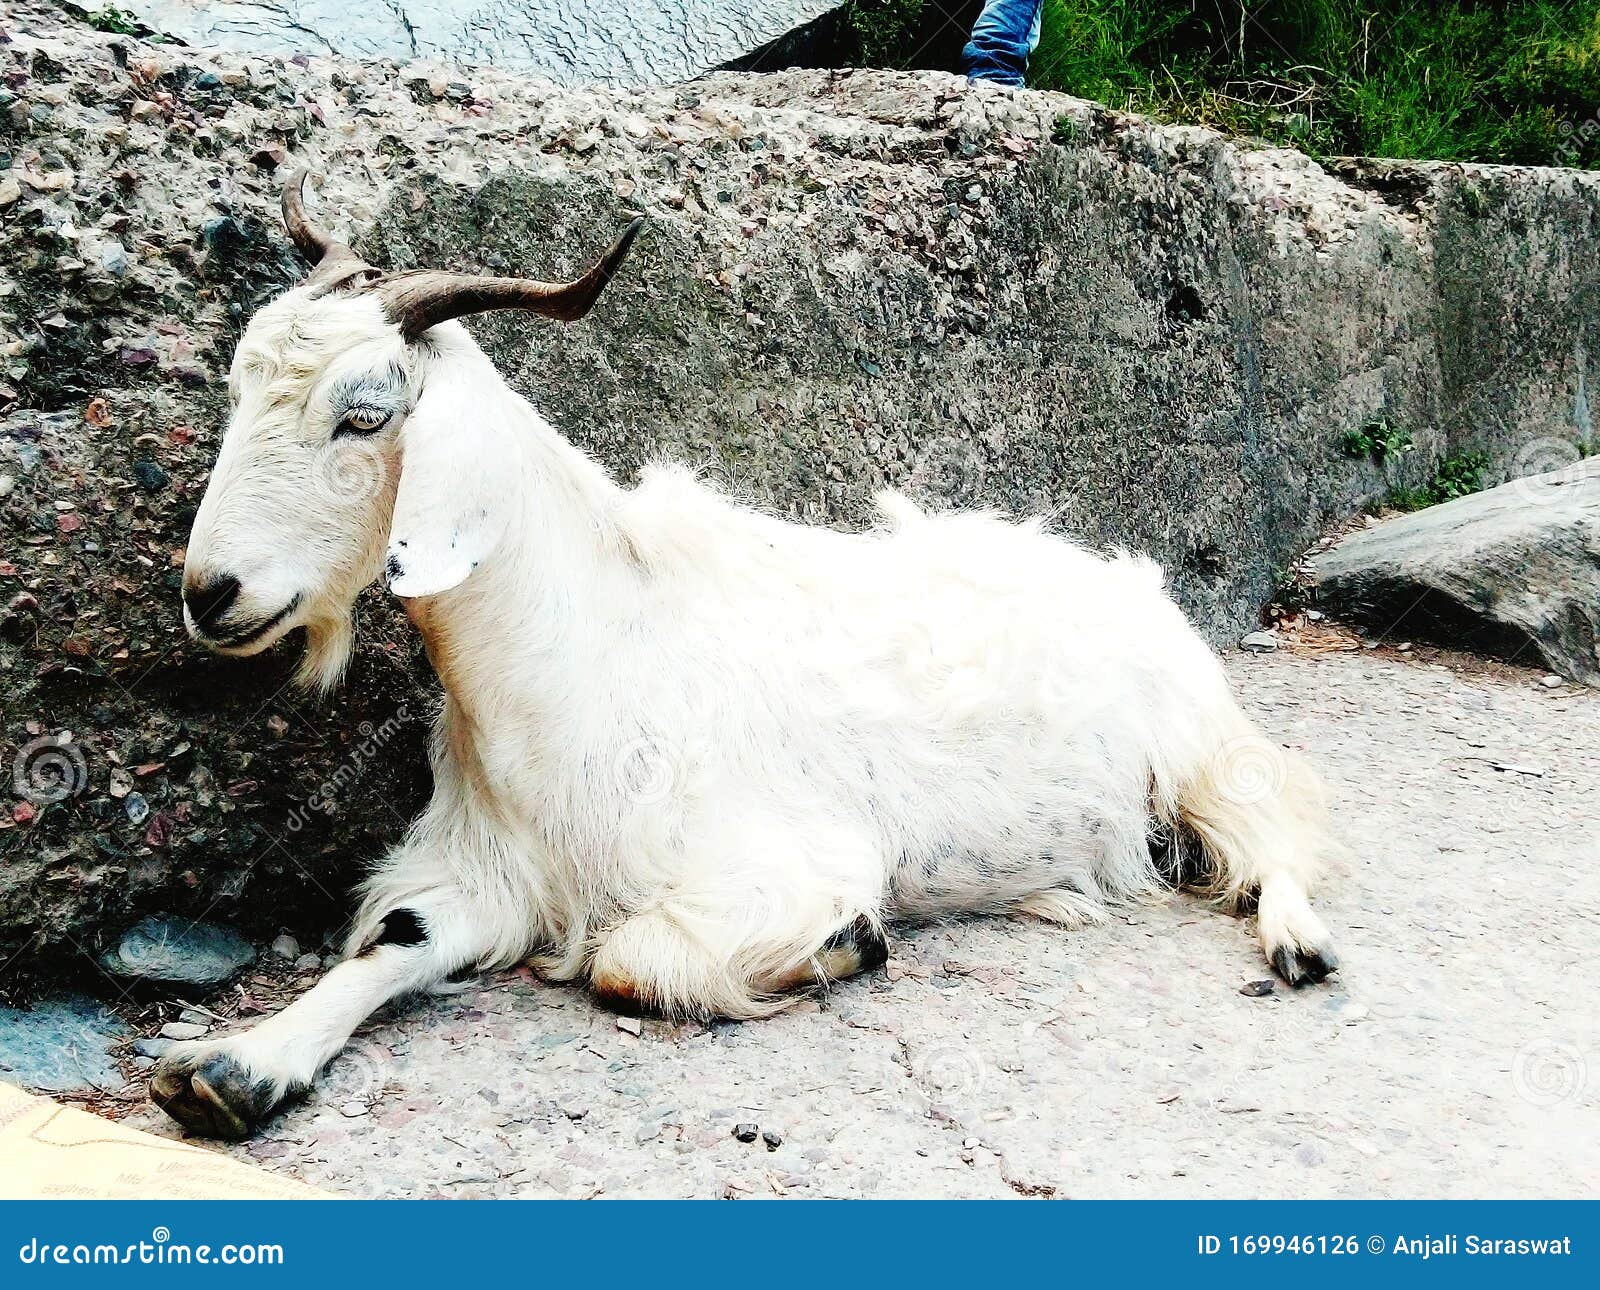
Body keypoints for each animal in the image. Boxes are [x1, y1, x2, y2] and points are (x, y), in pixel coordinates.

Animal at [151, 174, 1338, 1140]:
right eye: (239, 387)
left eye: (364, 415)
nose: (210, 594)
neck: (582, 647)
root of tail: (1110, 568)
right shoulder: (488, 866)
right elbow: (393, 942)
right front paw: (233, 1067)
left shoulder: (774, 862)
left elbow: (628, 963)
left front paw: (847, 944)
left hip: (1199, 744)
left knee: (1276, 827)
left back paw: (1299, 943)